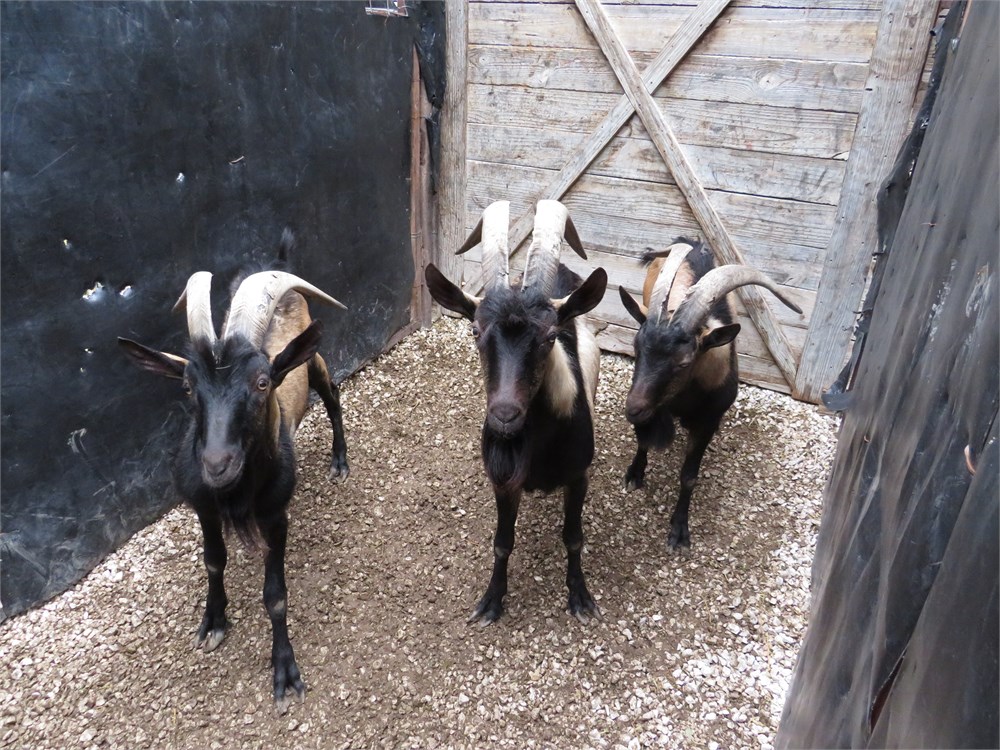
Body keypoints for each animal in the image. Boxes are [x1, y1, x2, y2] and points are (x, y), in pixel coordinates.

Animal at [117, 231, 348, 707]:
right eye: (188, 386)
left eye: (262, 383)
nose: (216, 464)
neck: (235, 494)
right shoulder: (204, 510)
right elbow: (212, 562)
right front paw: (213, 621)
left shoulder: (275, 516)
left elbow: (275, 596)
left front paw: (285, 671)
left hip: (313, 363)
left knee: (332, 393)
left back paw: (339, 459)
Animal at [424, 200, 608, 624]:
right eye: (475, 331)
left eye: (551, 336)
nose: (504, 418)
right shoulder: (503, 480)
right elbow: (502, 542)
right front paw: (491, 601)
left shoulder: (579, 475)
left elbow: (574, 538)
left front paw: (580, 597)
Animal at [617, 238, 802, 549]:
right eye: (635, 346)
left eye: (683, 363)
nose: (633, 409)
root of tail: (692, 242)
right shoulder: (652, 404)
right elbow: (644, 440)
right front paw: (634, 474)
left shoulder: (706, 421)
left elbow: (689, 477)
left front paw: (679, 531)